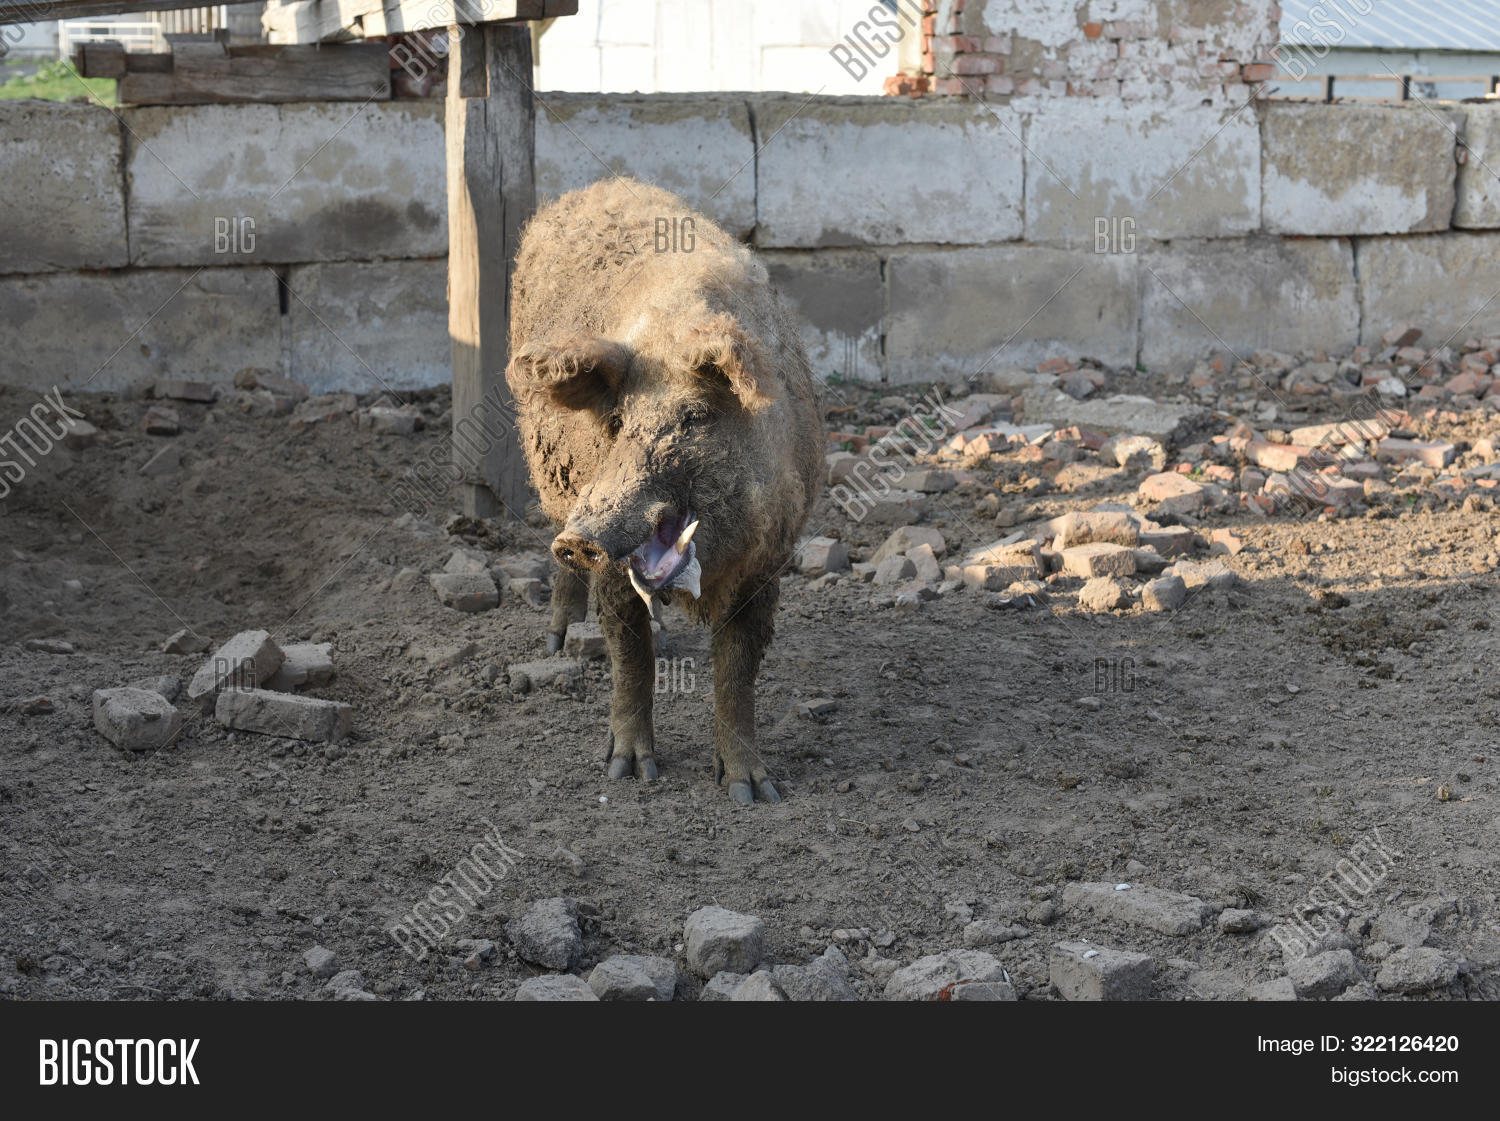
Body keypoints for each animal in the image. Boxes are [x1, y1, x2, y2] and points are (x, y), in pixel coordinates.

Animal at [506, 179, 823, 804]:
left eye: (694, 417)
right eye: (617, 423)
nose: (582, 536)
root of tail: (586, 190)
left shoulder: (770, 559)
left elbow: (738, 669)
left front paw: (753, 792)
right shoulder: (610, 566)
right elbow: (630, 655)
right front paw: (628, 772)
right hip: (555, 483)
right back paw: (559, 642)